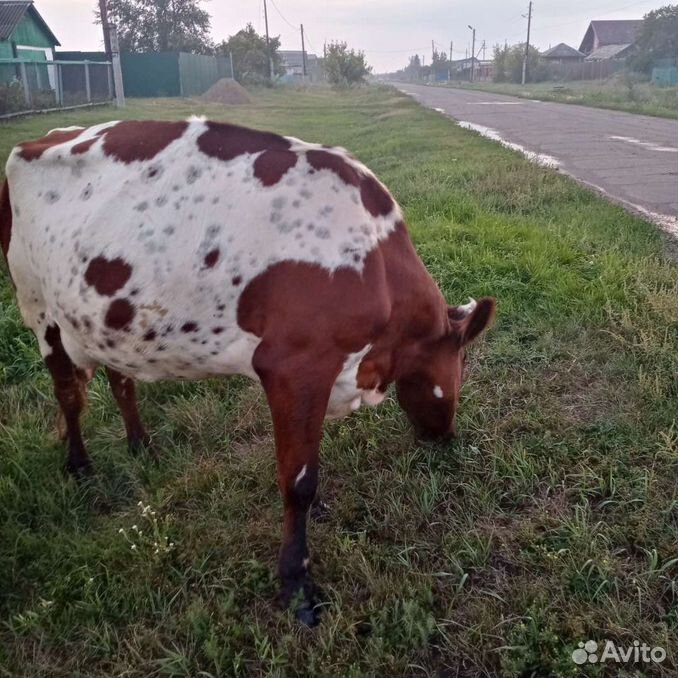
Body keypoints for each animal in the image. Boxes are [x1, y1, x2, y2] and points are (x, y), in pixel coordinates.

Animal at [1, 118, 500, 628]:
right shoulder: (294, 366)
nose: (446, 437)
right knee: (68, 393)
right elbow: (298, 479)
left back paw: (141, 446)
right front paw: (297, 587)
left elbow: (306, 460)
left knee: (120, 379)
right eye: (461, 365)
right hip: (38, 308)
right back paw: (79, 465)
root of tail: (47, 135)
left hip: (104, 322)